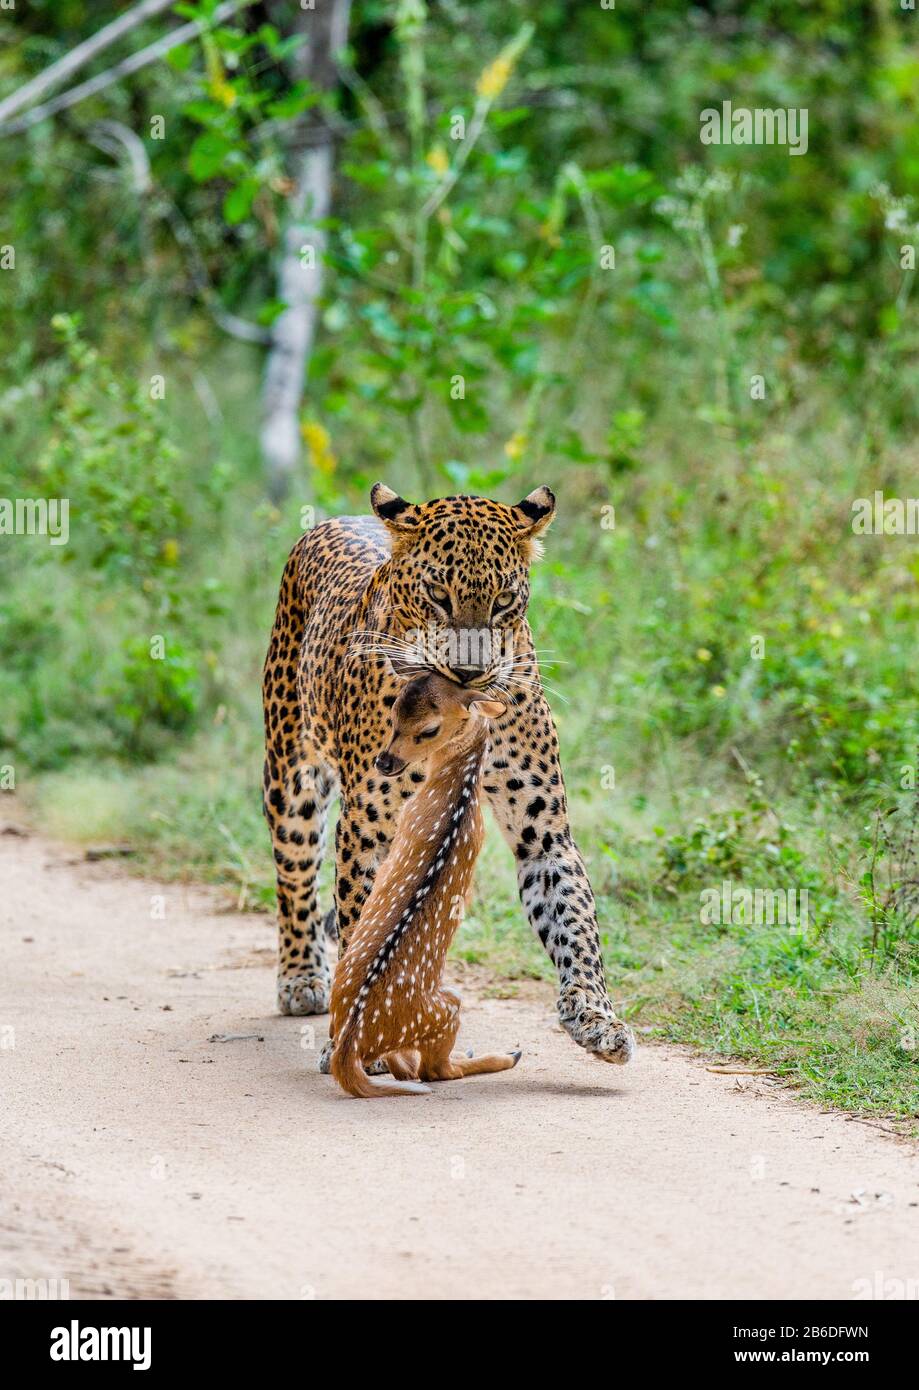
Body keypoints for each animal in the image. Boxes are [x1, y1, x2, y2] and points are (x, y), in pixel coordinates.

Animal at [262, 482, 634, 1066]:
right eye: (438, 595)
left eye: (503, 601)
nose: (469, 672)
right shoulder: (367, 826)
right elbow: (361, 922)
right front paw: (357, 1034)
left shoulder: (544, 833)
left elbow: (574, 920)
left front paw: (595, 1017)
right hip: (290, 778)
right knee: (295, 877)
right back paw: (302, 980)